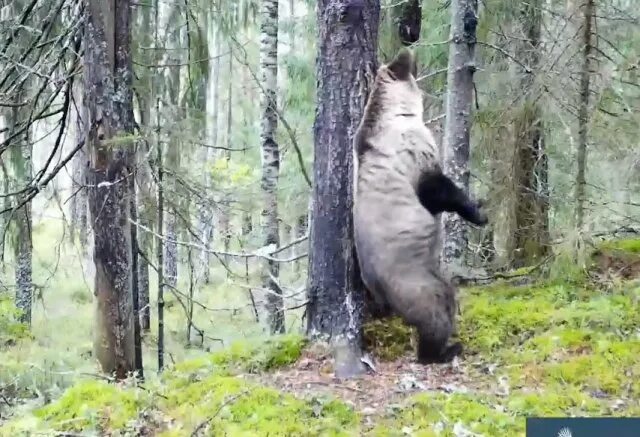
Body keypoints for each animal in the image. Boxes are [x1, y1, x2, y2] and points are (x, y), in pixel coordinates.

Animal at [352, 48, 488, 364]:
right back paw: (445, 349)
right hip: (417, 284)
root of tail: (384, 295)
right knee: (435, 316)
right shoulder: (417, 161)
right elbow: (442, 192)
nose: (408, 48)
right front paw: (478, 212)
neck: (395, 115)